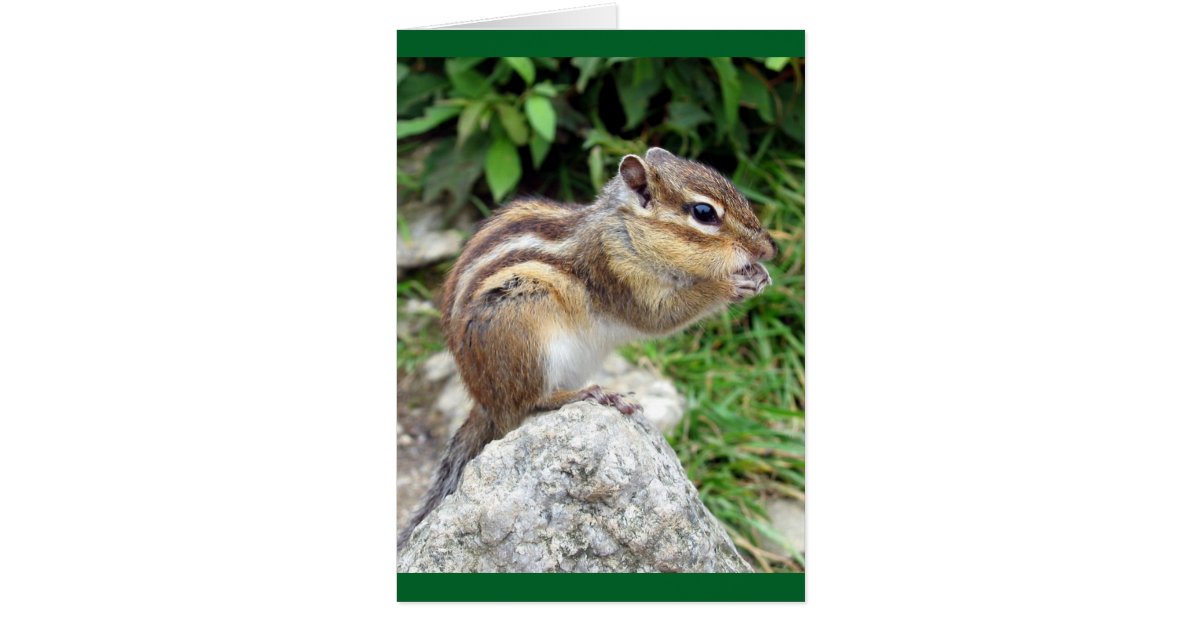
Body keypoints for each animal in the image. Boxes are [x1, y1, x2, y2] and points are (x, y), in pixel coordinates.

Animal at [398, 147, 777, 551]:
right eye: (704, 213)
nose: (771, 247)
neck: (626, 232)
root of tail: (485, 402)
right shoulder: (615, 273)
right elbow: (661, 316)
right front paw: (729, 284)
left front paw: (759, 274)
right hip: (526, 329)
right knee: (530, 403)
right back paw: (594, 394)